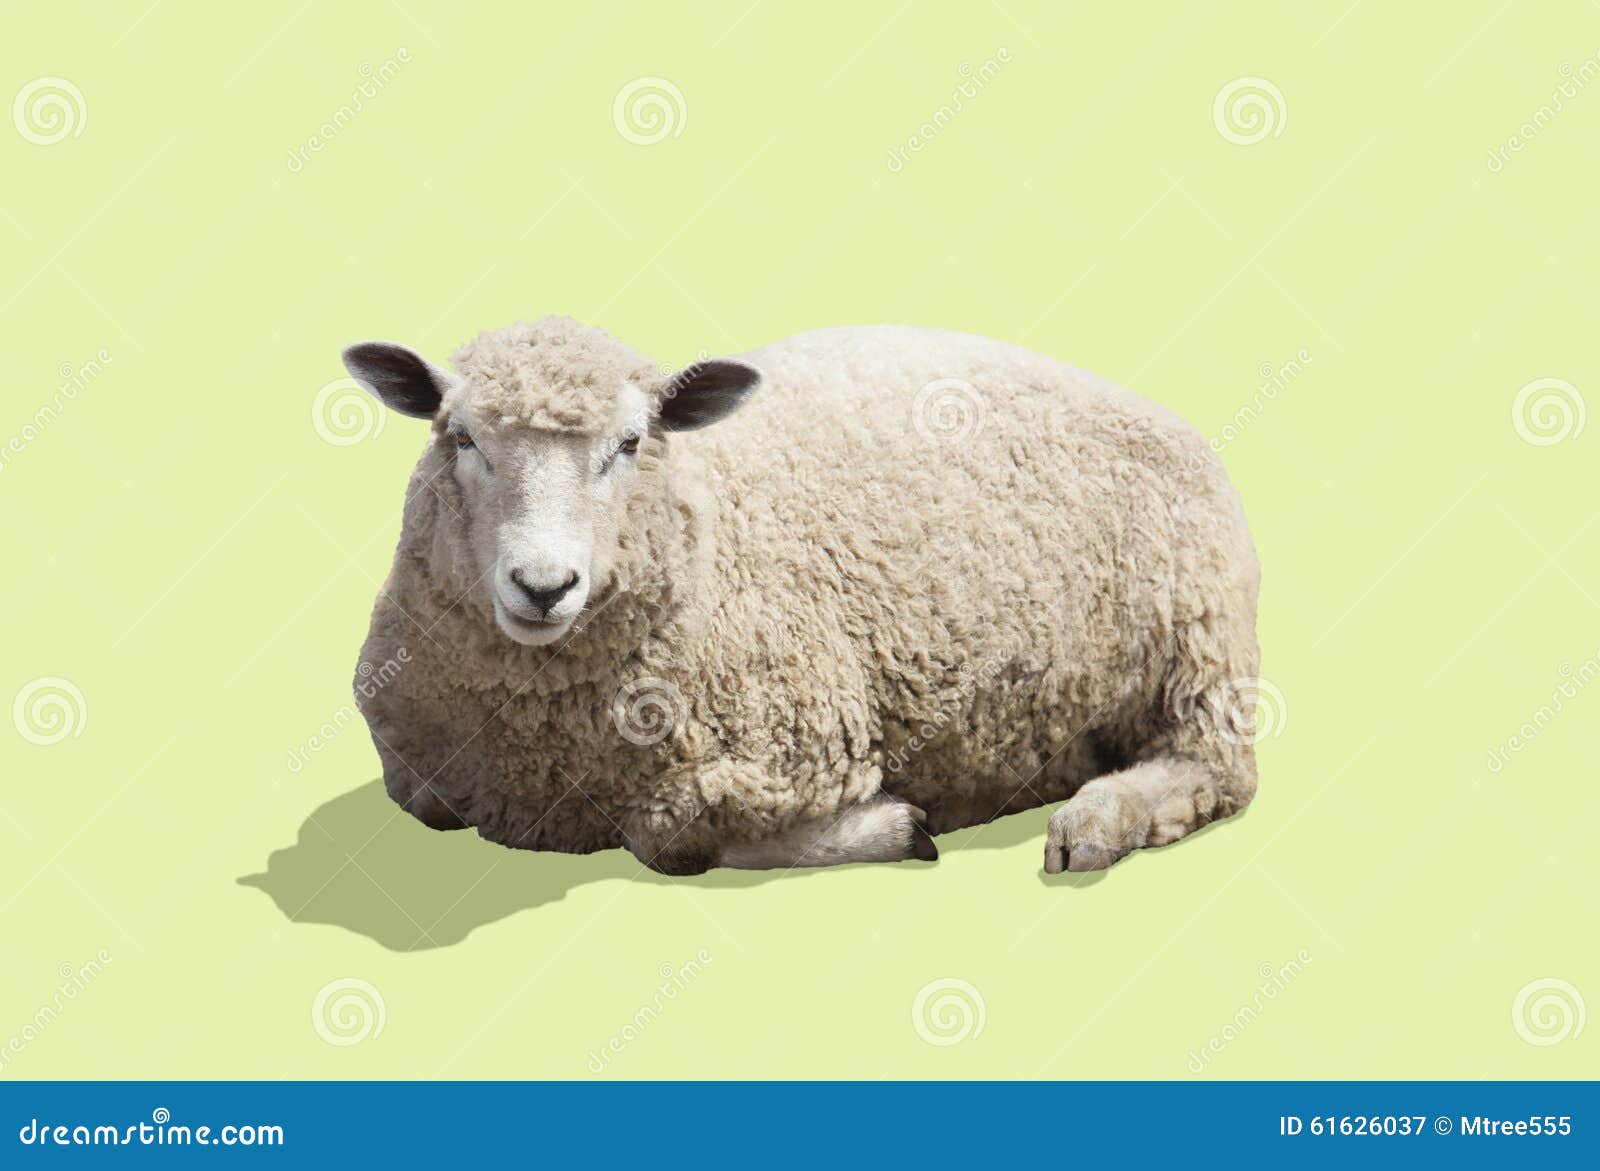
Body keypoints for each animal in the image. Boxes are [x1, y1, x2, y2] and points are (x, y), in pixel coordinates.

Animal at [341, 317, 1260, 876]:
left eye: (631, 444)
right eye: (461, 437)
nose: (543, 585)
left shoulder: (798, 743)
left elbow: (669, 831)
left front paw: (896, 824)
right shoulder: (417, 771)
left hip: (1200, 650)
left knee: (1216, 770)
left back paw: (1098, 820)